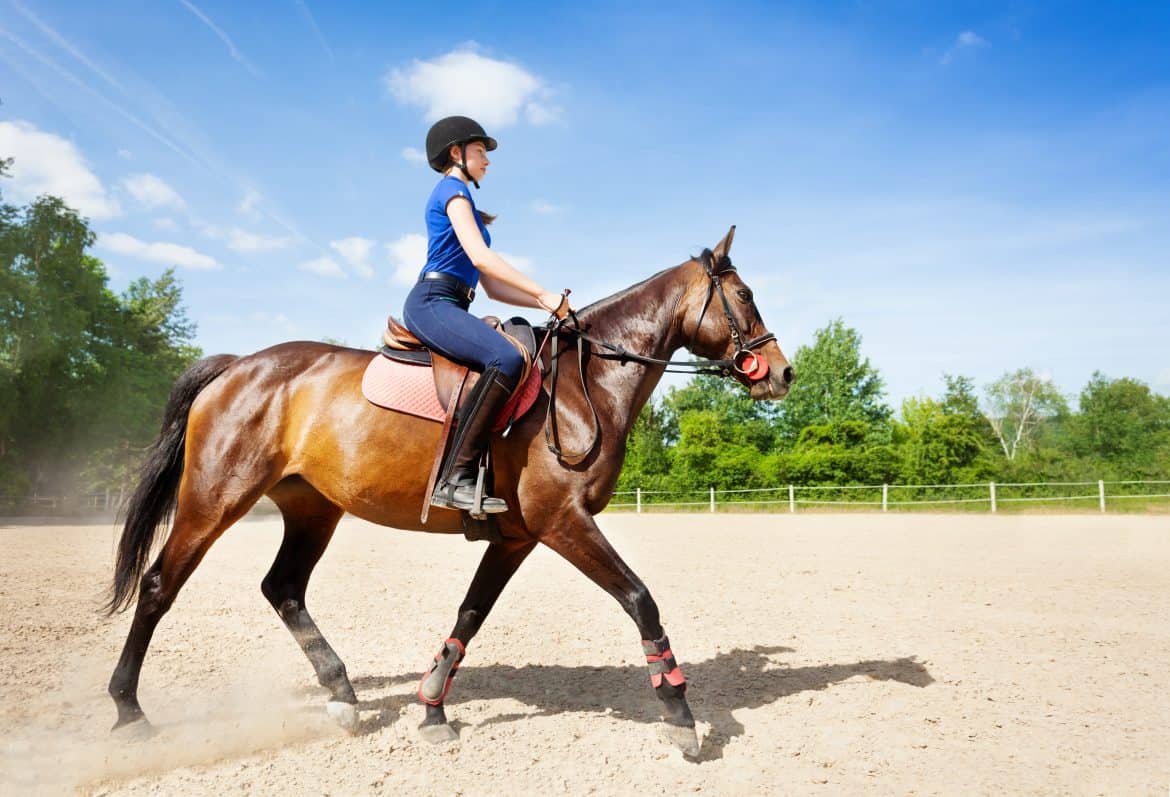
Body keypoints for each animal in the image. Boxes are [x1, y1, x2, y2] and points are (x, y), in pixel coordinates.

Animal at [105, 226, 794, 757]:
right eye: (745, 296)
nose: (782, 373)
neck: (585, 383)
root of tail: (238, 365)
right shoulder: (563, 522)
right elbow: (640, 599)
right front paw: (680, 716)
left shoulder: (518, 536)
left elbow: (471, 613)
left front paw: (432, 707)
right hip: (216, 498)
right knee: (160, 586)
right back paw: (128, 711)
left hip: (312, 508)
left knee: (284, 589)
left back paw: (343, 695)